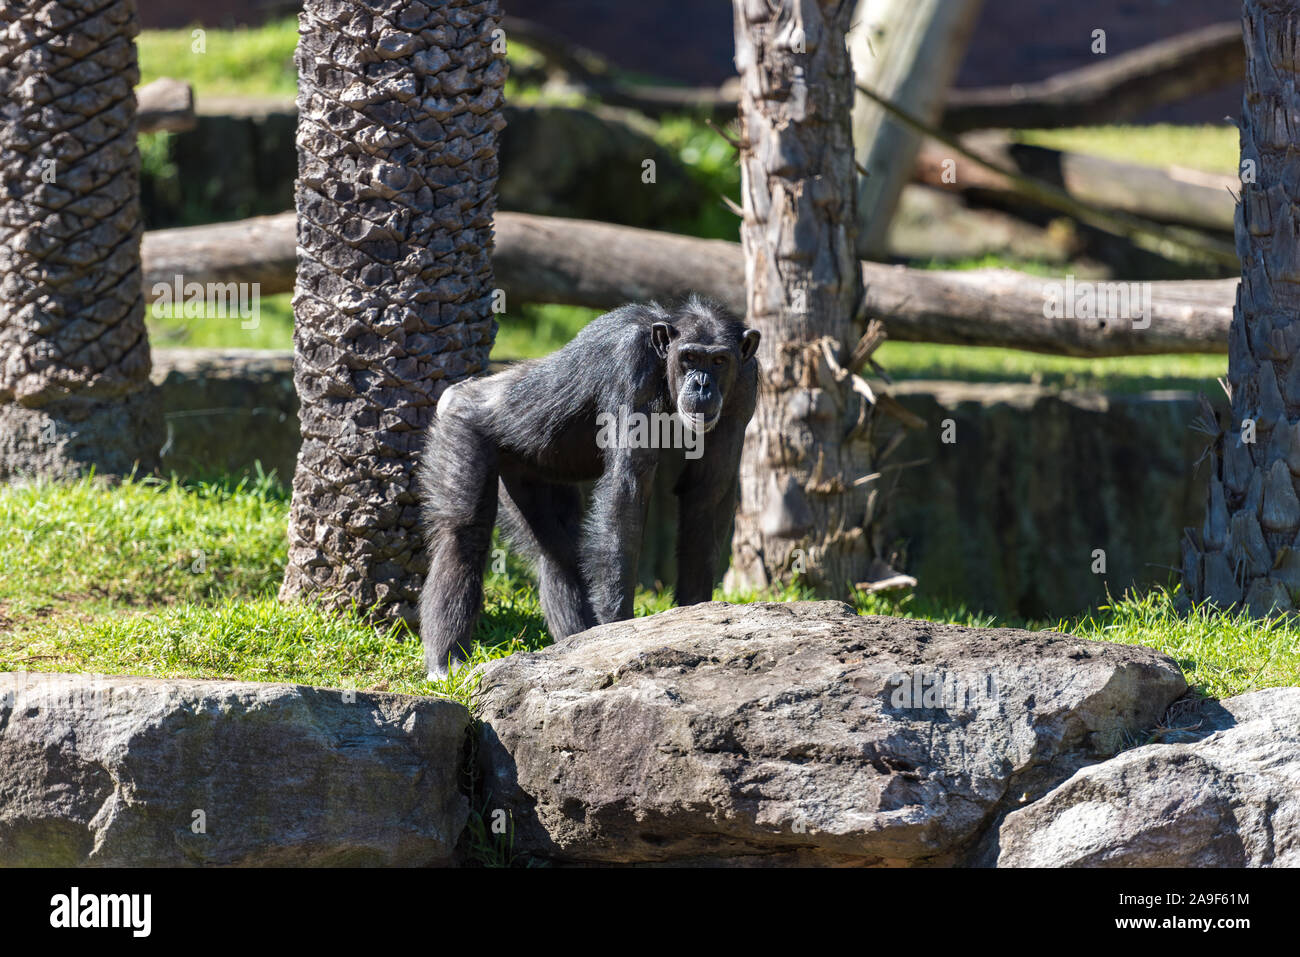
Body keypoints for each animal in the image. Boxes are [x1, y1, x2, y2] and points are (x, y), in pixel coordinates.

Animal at [417, 295, 761, 676]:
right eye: (689, 358)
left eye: (718, 361)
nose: (702, 383)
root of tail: (458, 391)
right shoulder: (631, 364)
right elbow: (626, 491)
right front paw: (619, 626)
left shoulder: (745, 384)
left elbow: (707, 493)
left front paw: (696, 612)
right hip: (461, 427)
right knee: (464, 534)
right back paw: (446, 660)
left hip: (527, 469)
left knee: (558, 552)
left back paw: (574, 642)